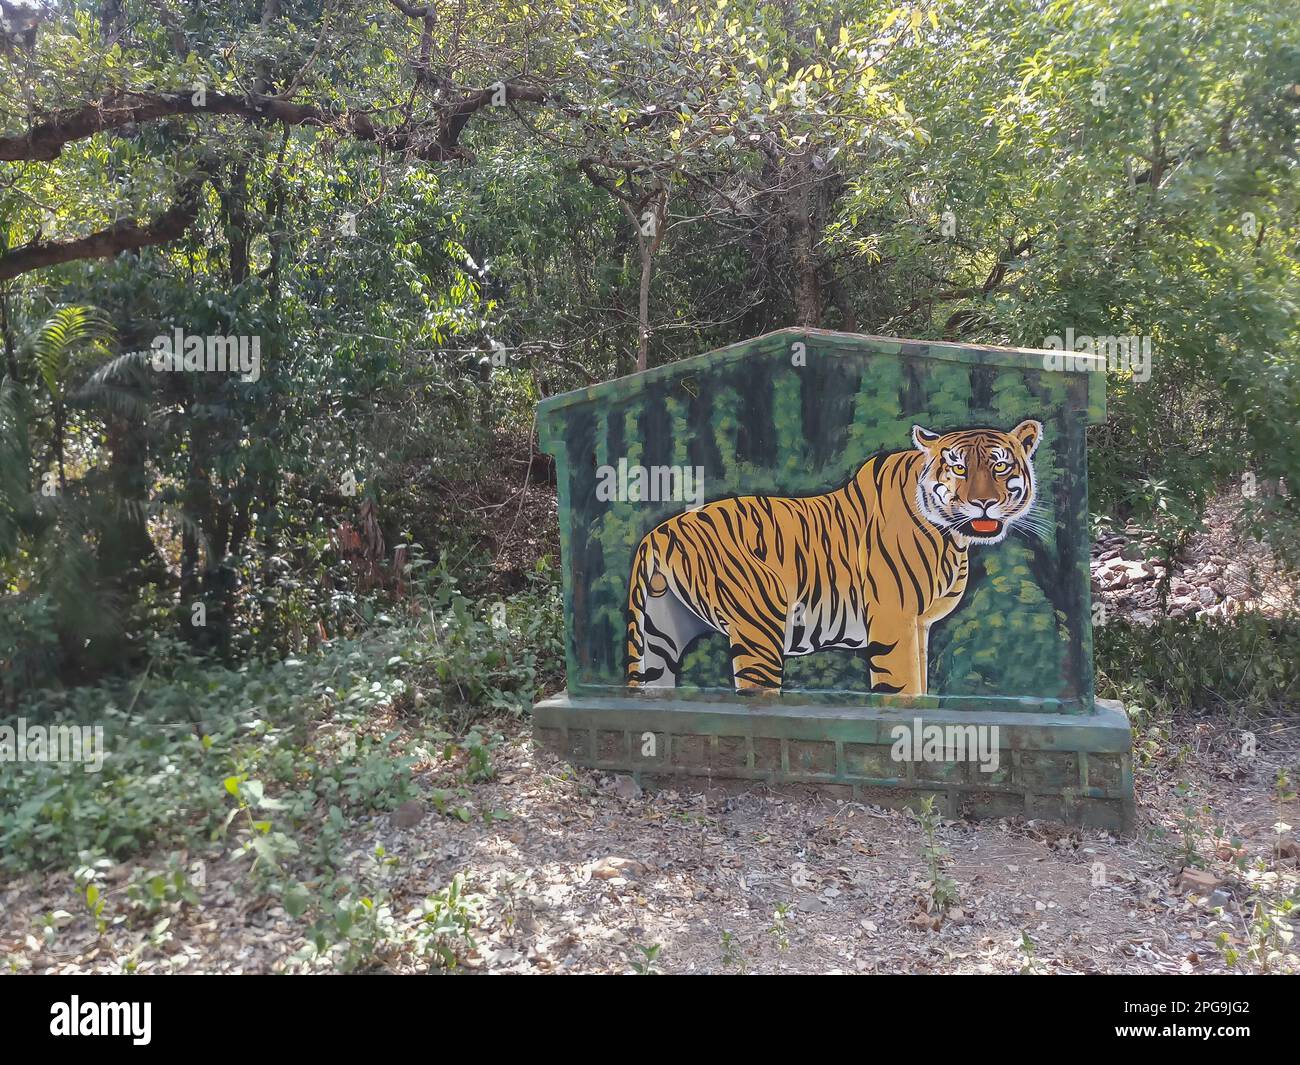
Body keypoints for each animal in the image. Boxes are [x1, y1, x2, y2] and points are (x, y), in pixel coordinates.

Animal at [625, 420, 1043, 696]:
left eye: (1000, 465)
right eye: (958, 468)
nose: (983, 503)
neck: (952, 539)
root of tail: (657, 533)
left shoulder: (920, 626)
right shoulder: (895, 620)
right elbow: (903, 691)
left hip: (660, 636)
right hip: (759, 625)